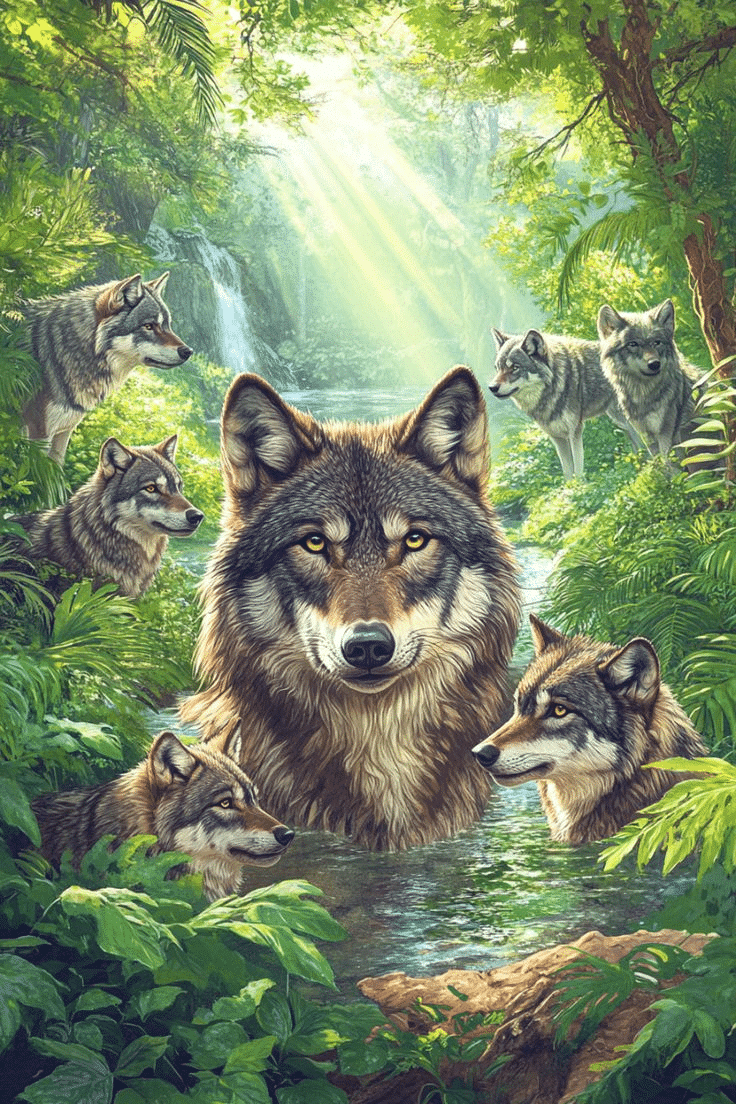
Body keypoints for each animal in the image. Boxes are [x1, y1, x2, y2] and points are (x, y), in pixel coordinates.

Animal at [489, 328, 639, 480]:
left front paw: (579, 485)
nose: (492, 387)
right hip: (621, 421)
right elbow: (567, 471)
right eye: (498, 368)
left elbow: (577, 470)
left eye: (515, 367)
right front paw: (568, 486)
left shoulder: (575, 431)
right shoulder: (557, 437)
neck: (555, 385)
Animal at [597, 299, 700, 457]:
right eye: (633, 344)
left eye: (657, 342)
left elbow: (669, 461)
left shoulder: (666, 433)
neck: (643, 395)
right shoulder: (646, 436)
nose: (654, 364)